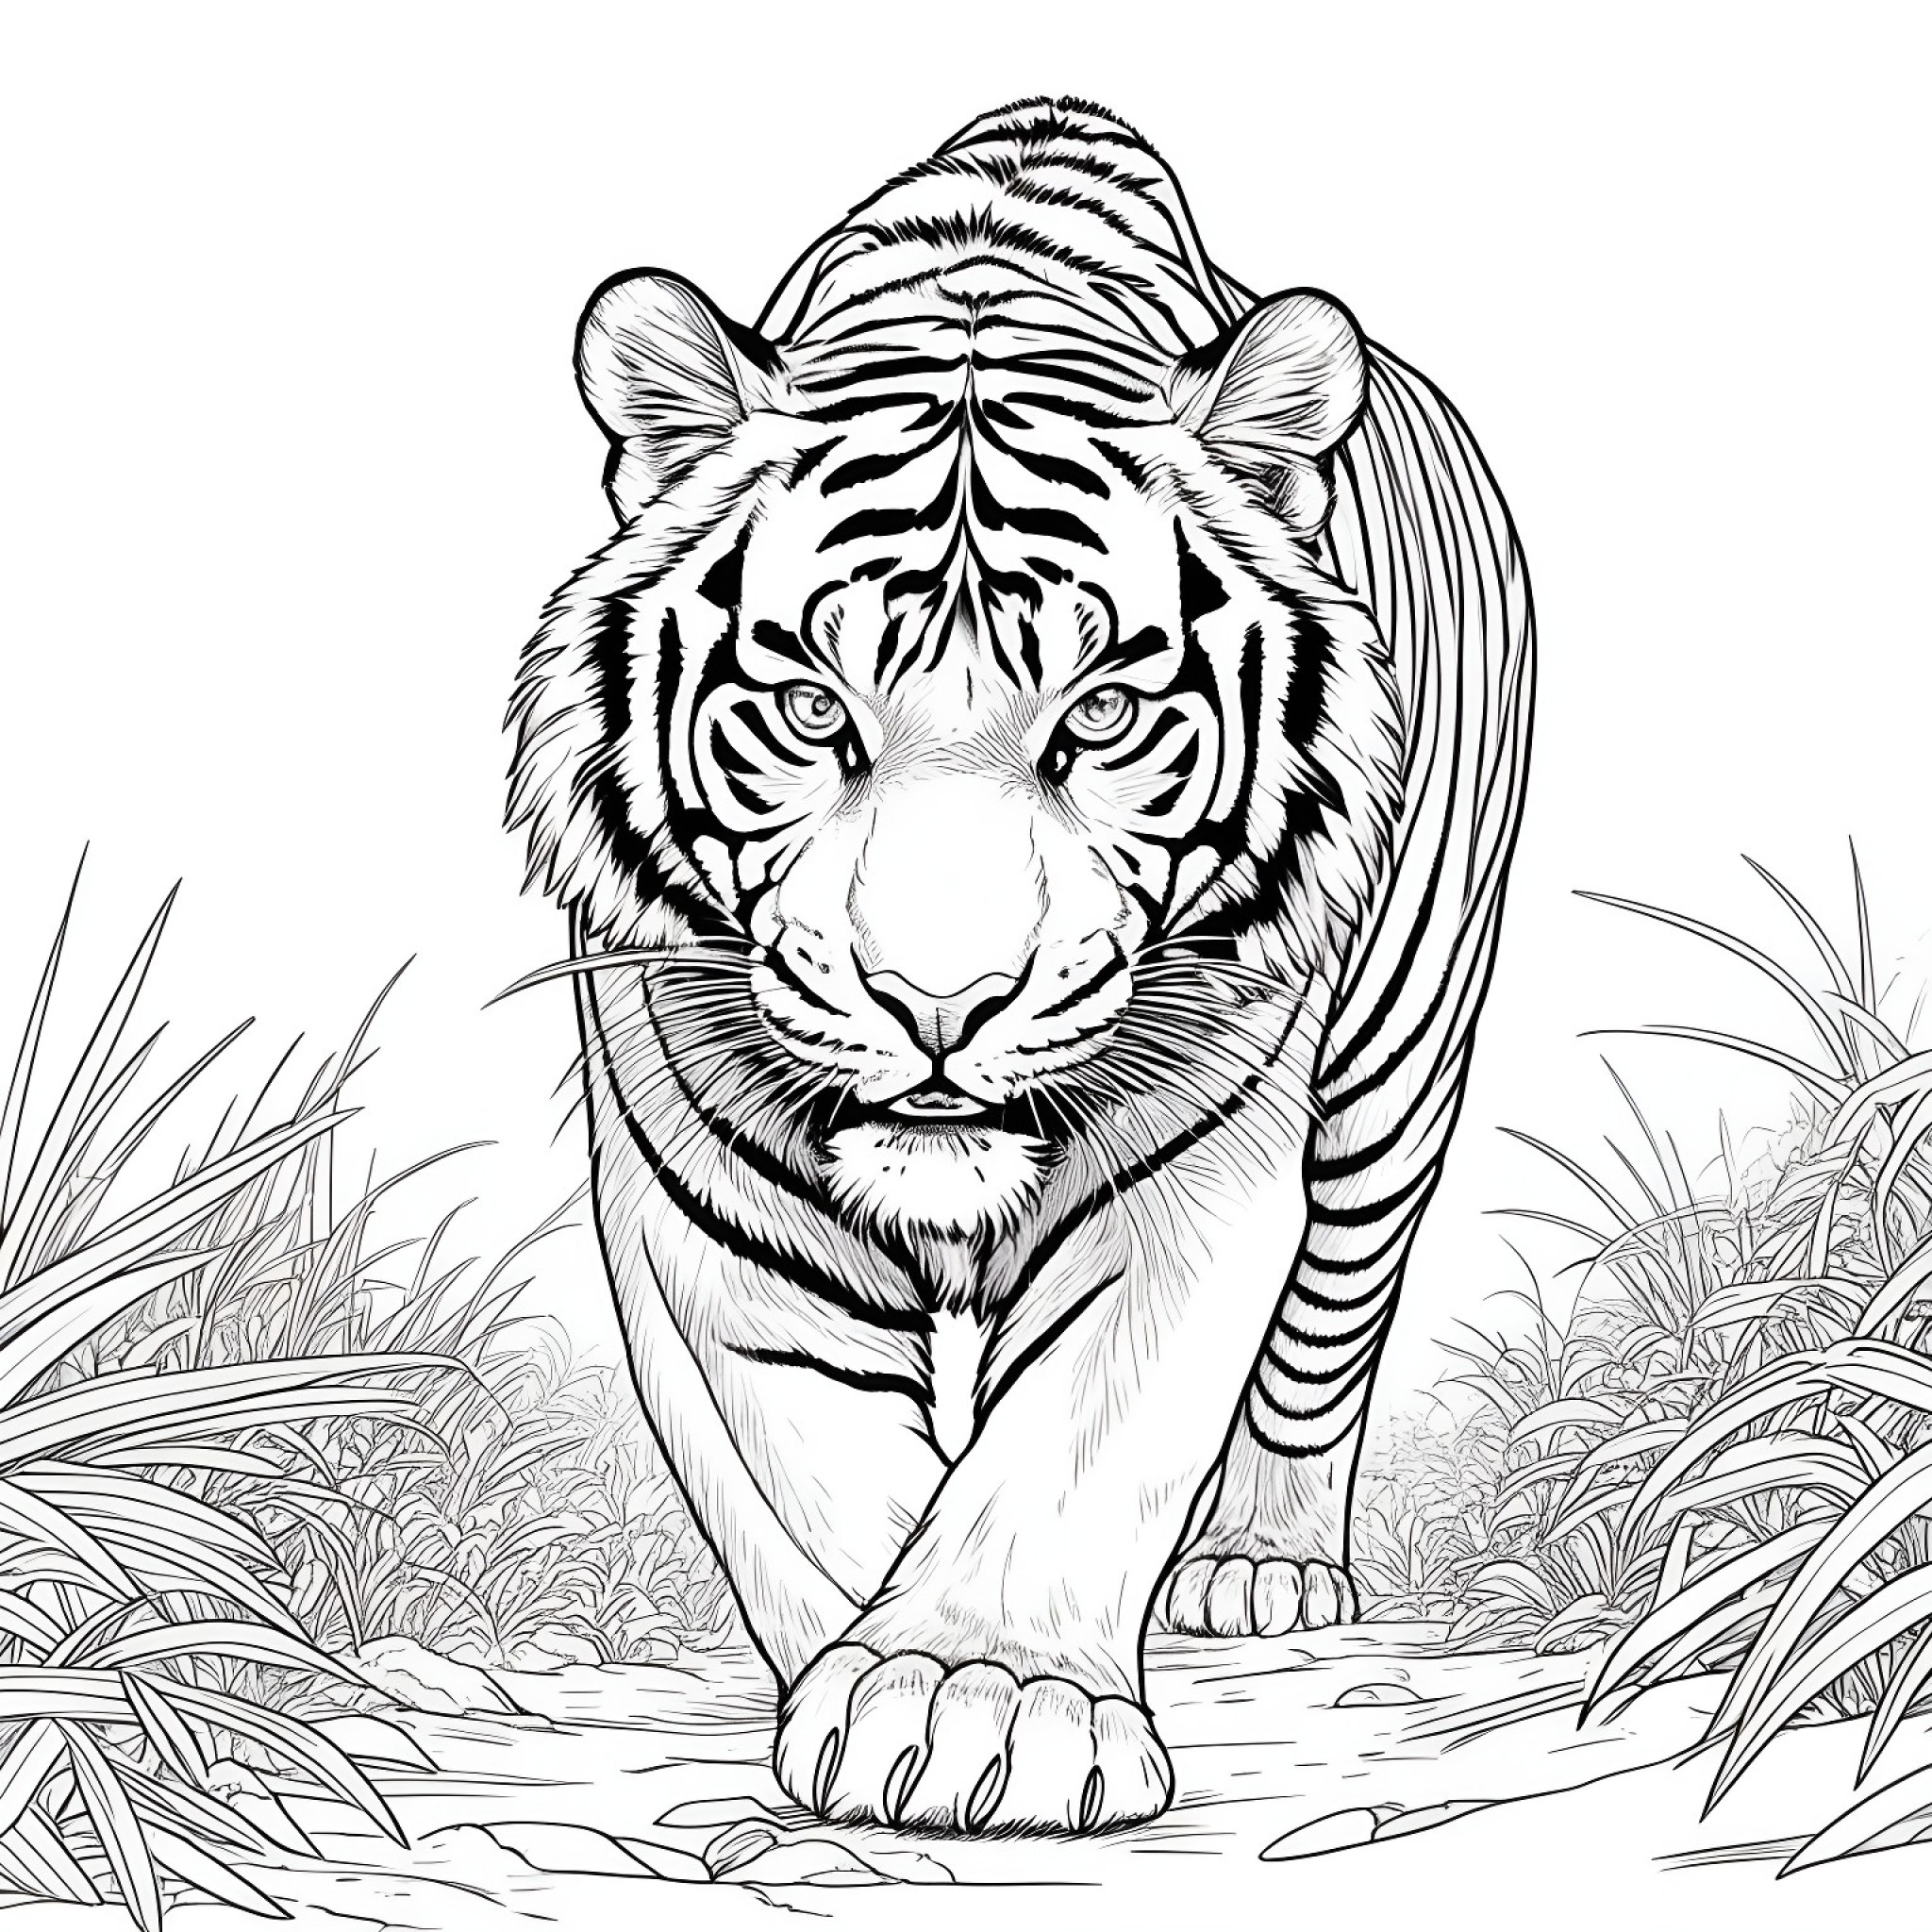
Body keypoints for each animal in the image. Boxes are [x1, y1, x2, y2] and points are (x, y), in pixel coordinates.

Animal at [507, 97, 1533, 1834]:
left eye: (1100, 718)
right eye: (812, 713)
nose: (939, 1007)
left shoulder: (1187, 1164)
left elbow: (1071, 1440)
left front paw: (975, 1697)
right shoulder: (698, 1192)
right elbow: (814, 1468)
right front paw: (876, 1694)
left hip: (1398, 1056)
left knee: (1332, 1313)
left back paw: (1259, 1563)